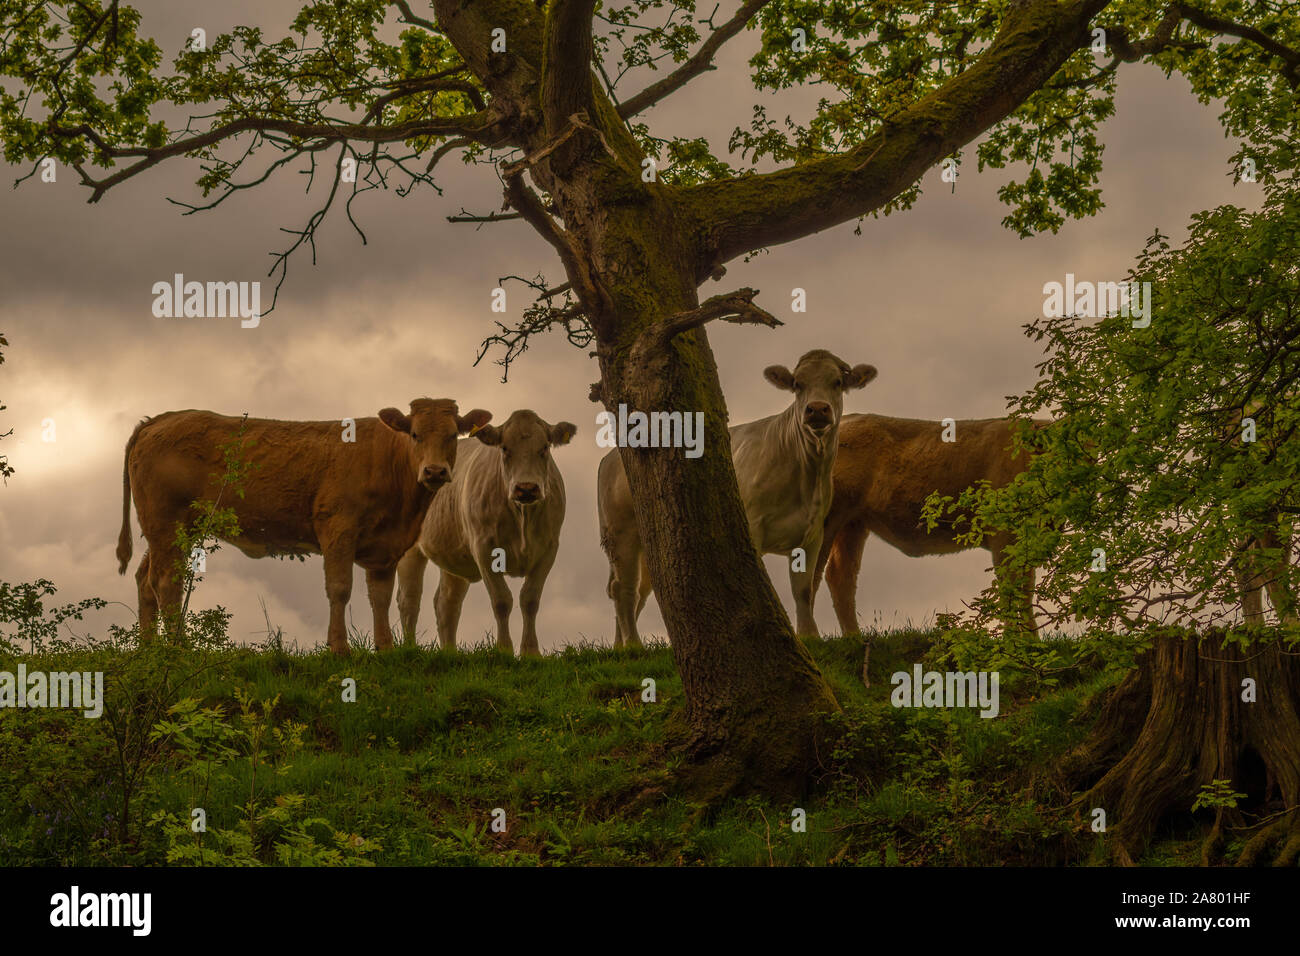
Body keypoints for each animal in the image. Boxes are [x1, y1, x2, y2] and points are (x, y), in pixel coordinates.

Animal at [116, 399, 493, 655]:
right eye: (415, 434)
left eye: (452, 436)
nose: (434, 471)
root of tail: (161, 418)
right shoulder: (338, 528)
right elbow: (340, 589)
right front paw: (339, 648)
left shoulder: (385, 547)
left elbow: (381, 597)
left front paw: (385, 648)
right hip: (166, 523)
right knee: (167, 580)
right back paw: (178, 648)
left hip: (175, 530)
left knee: (145, 578)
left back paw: (148, 649)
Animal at [395, 409, 577, 656]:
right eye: (505, 448)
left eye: (544, 448)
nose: (526, 488)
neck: (522, 517)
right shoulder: (483, 548)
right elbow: (501, 601)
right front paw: (504, 649)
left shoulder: (549, 549)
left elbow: (530, 600)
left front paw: (531, 652)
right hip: (411, 550)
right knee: (409, 600)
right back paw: (410, 648)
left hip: (454, 558)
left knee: (446, 604)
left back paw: (450, 653)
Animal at [597, 349, 877, 648]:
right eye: (797, 384)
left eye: (837, 382)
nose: (816, 409)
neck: (804, 472)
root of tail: (612, 455)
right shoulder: (753, 525)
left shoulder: (813, 533)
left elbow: (802, 589)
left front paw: (809, 636)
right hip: (621, 530)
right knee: (623, 587)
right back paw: (633, 644)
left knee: (636, 589)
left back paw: (620, 647)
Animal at [812, 413, 1043, 683]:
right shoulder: (1003, 533)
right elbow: (1010, 588)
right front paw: (1012, 644)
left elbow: (1026, 589)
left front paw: (1033, 643)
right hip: (829, 515)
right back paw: (810, 636)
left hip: (853, 522)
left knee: (840, 575)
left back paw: (853, 639)